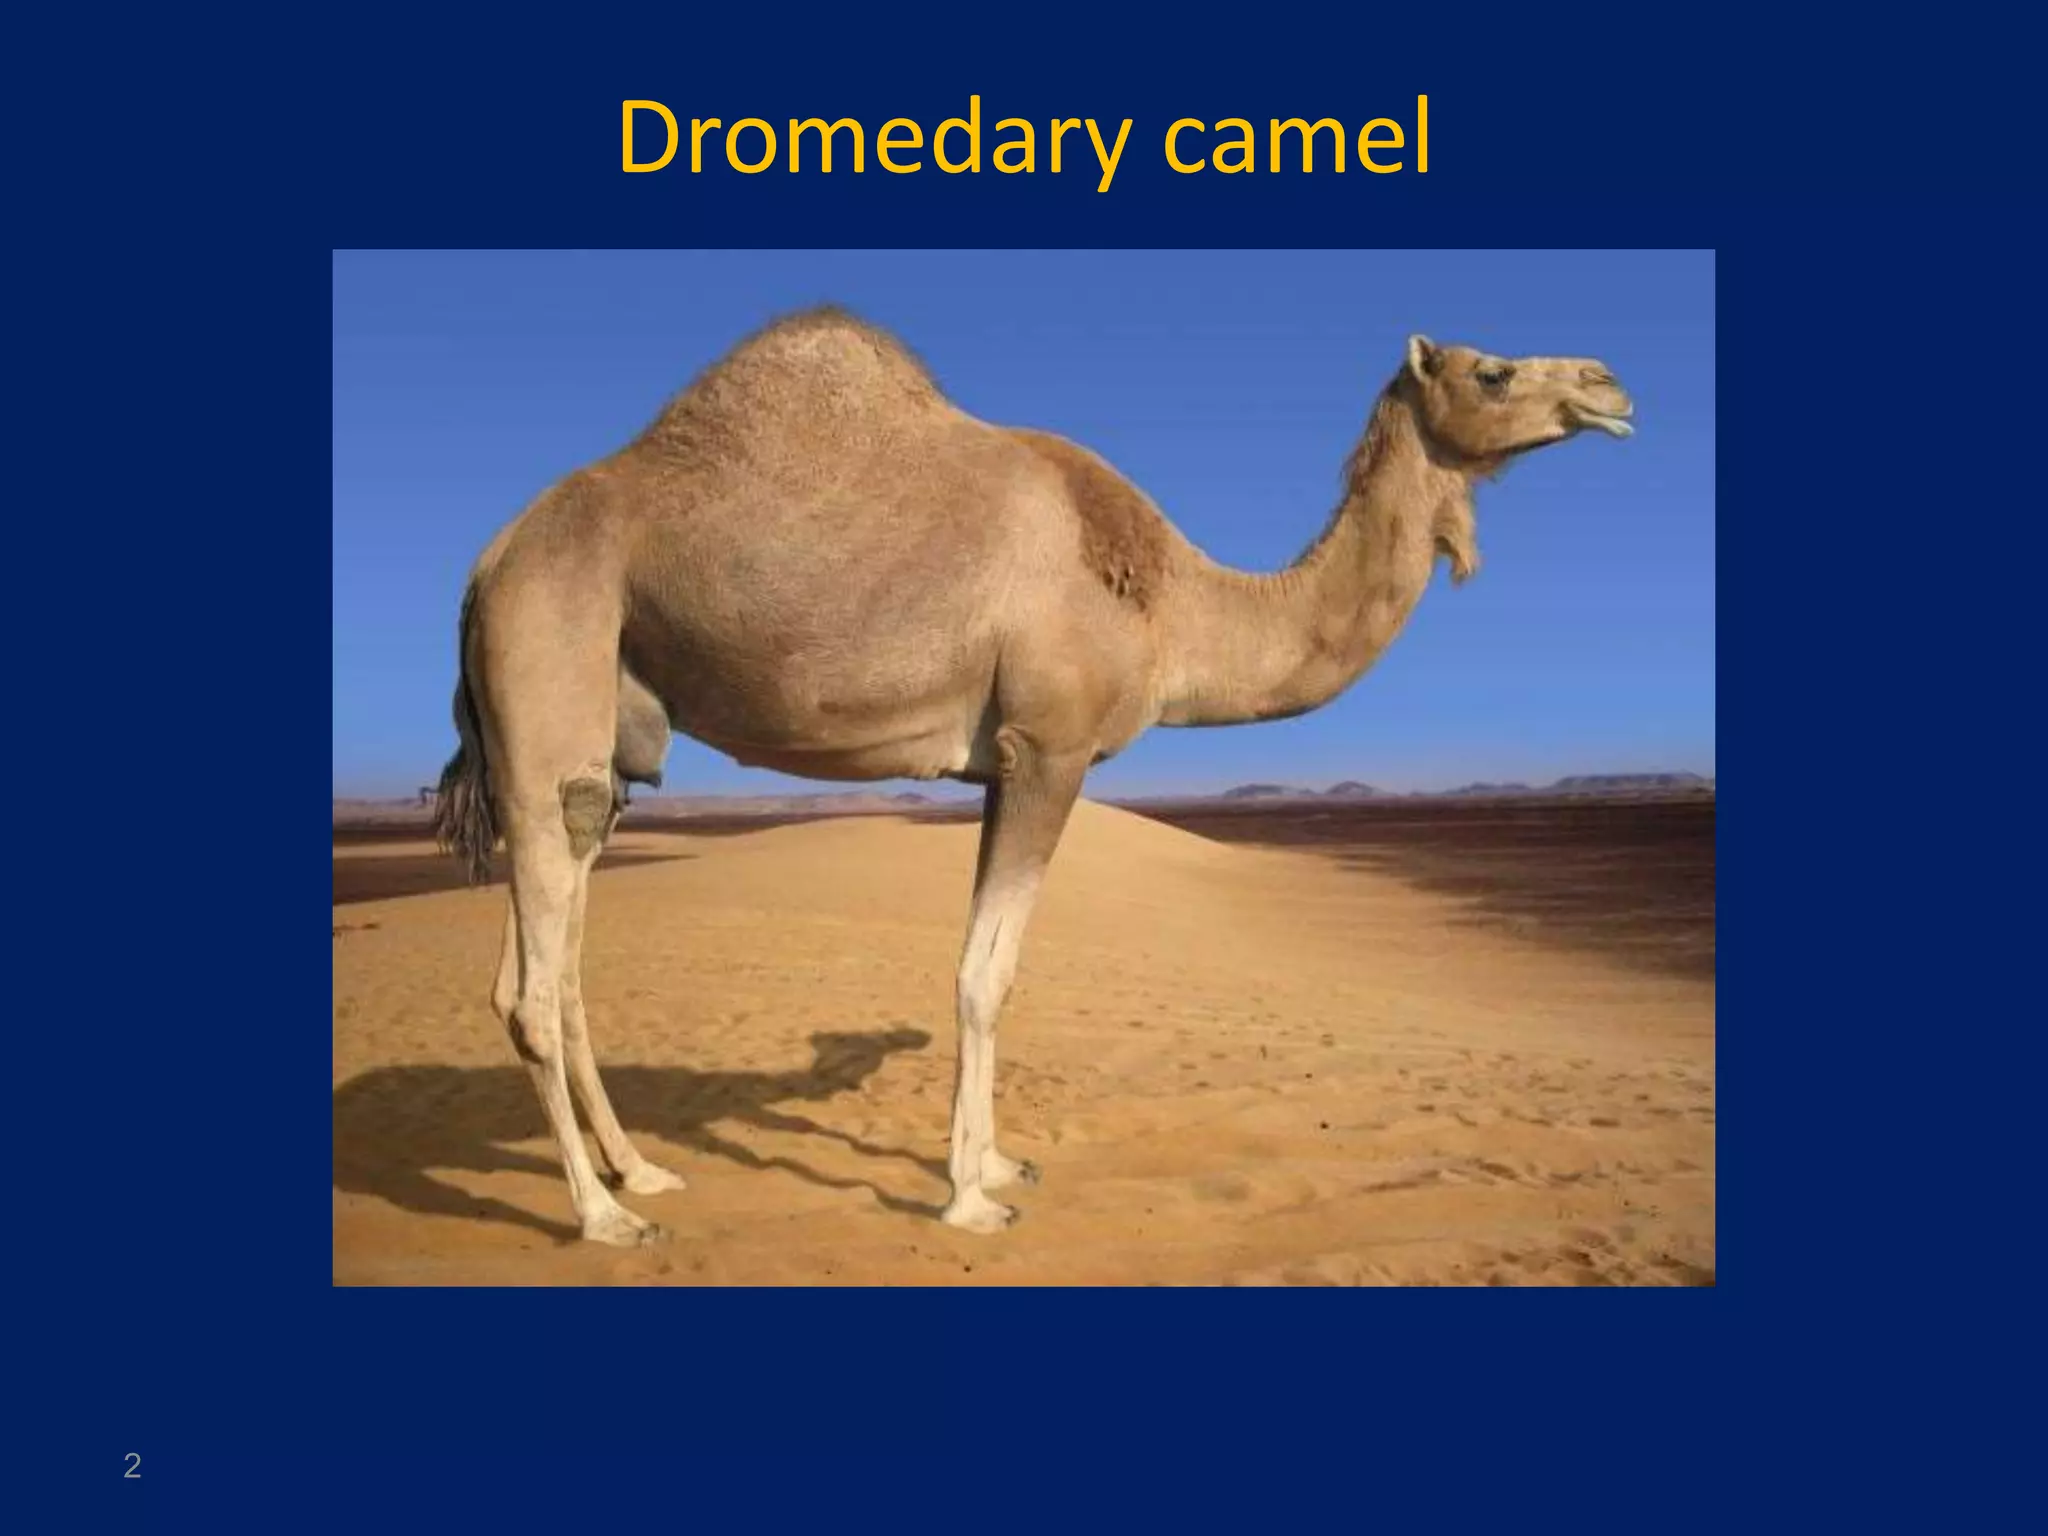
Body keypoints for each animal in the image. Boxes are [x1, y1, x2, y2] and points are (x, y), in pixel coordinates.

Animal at [433, 306, 1634, 1245]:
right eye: (1492, 370)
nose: (1610, 386)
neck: (1177, 602)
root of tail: (488, 563)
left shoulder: (999, 765)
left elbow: (990, 968)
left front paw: (998, 1163)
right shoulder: (1048, 748)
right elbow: (984, 974)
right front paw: (971, 1198)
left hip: (603, 743)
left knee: (559, 956)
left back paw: (641, 1169)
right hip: (550, 665)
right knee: (530, 985)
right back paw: (603, 1215)